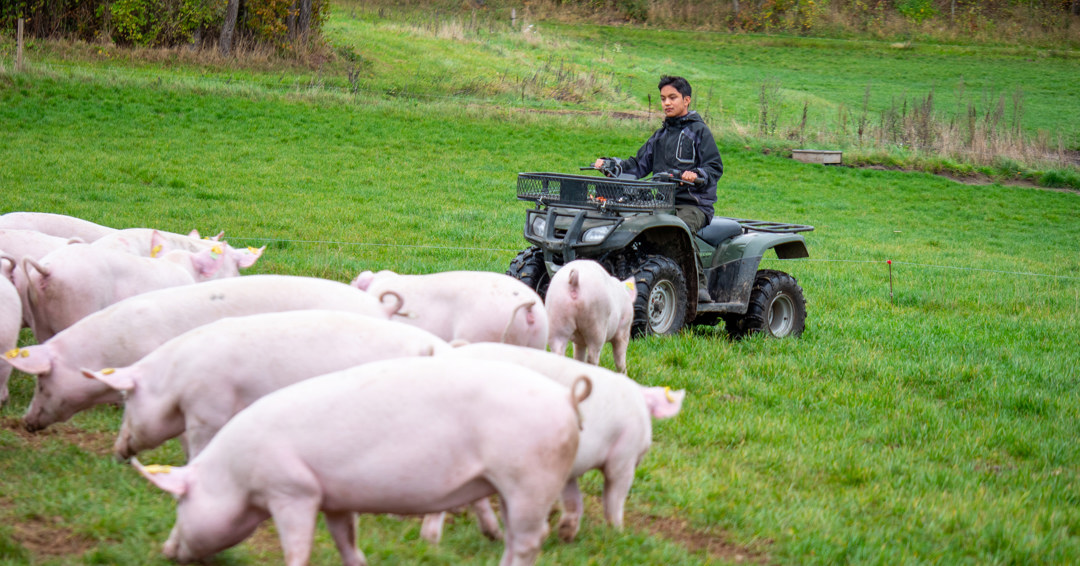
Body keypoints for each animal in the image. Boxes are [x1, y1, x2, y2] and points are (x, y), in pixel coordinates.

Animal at [84, 310, 451, 460]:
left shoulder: (208, 408)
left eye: (127, 399)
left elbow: (201, 445)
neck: (174, 381)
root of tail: (434, 347)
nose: (117, 452)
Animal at [133, 357, 589, 566]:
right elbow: (345, 539)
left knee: (530, 538)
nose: (165, 550)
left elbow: (297, 545)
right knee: (517, 535)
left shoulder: (292, 489)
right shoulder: (334, 497)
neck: (235, 475)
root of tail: (566, 399)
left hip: (530, 477)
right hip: (514, 486)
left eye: (180, 501)